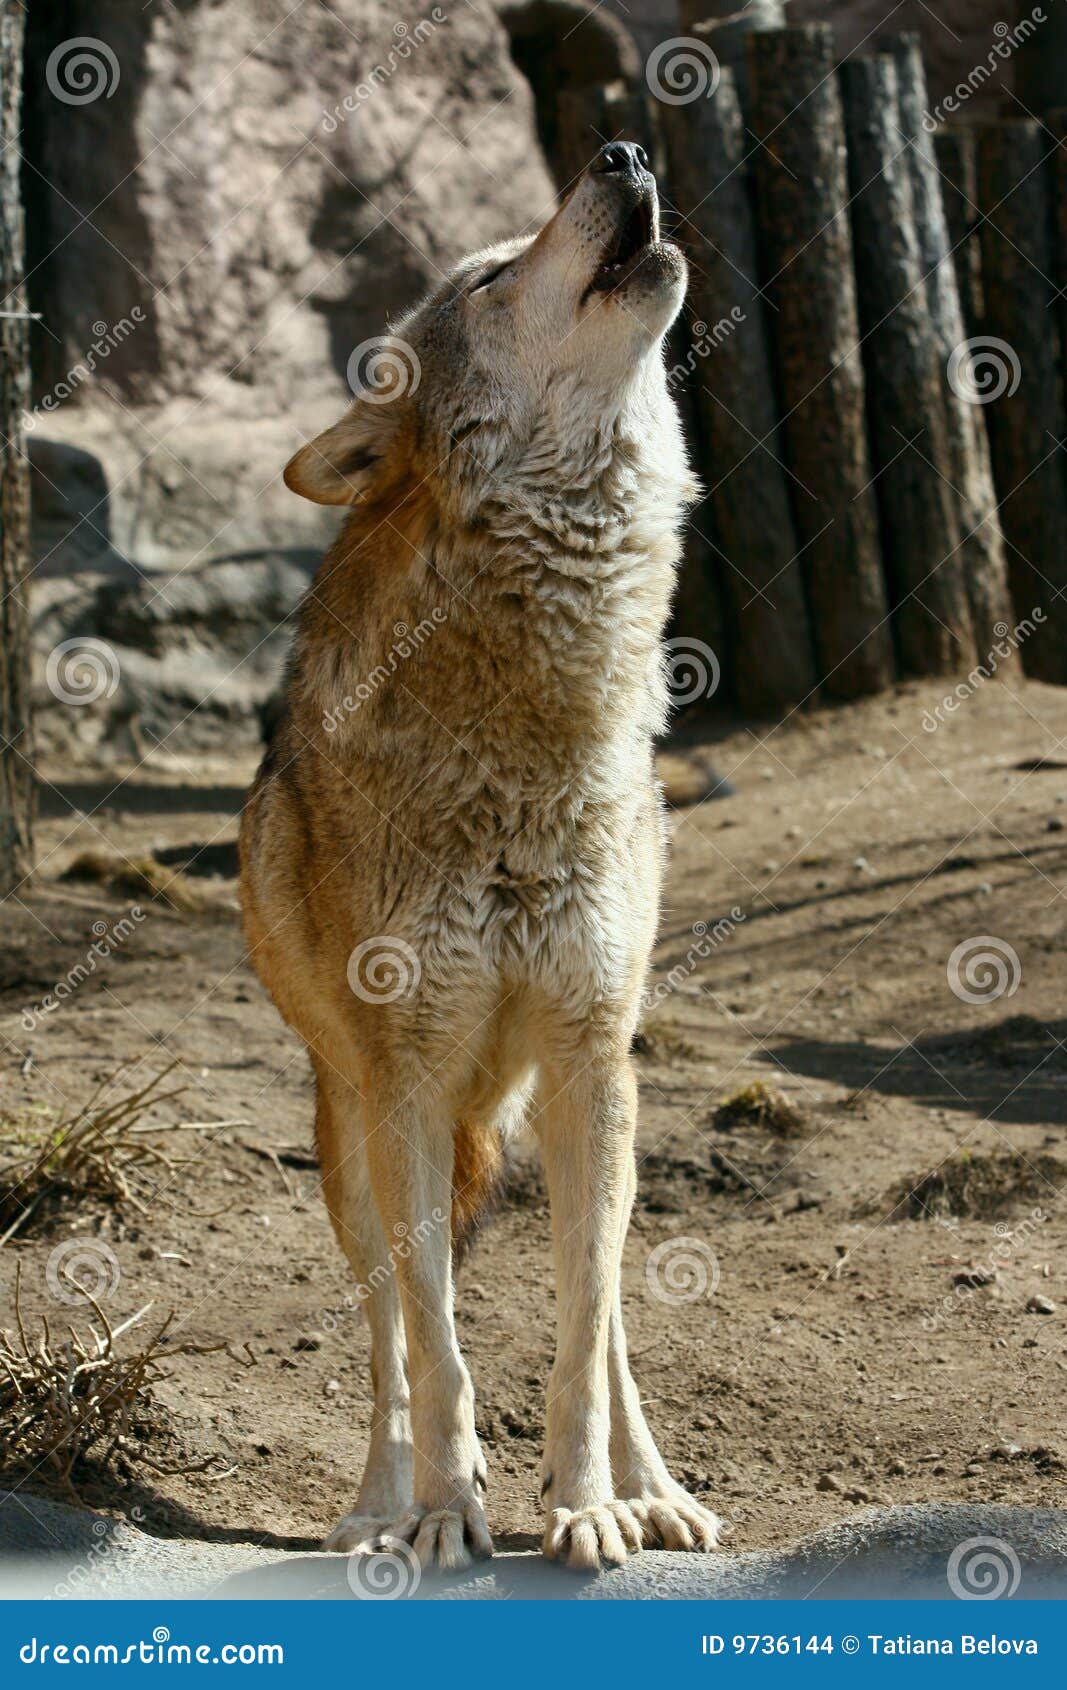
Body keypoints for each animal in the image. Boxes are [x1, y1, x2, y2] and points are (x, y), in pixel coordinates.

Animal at [239, 141, 720, 1573]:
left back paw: (653, 1489)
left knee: (606, 1319)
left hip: (594, 1115)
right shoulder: (401, 1079)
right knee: (391, 1337)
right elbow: (438, 1350)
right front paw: (449, 1511)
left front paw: (588, 1506)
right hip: (351, 1145)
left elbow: (578, 1334)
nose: (622, 150)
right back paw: (377, 1504)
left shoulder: (589, 1052)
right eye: (492, 276)